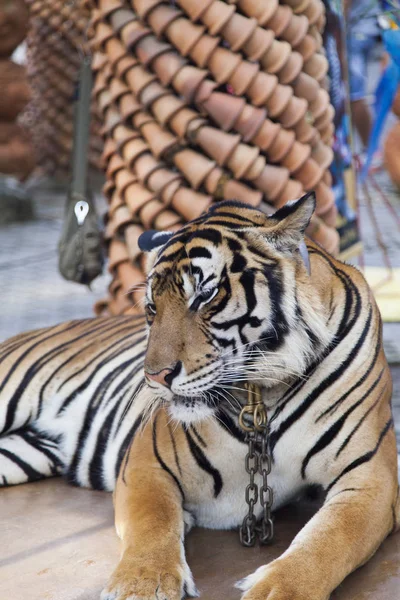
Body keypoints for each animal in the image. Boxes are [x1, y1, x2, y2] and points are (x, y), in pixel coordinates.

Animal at [0, 193, 398, 600]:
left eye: (205, 295)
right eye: (152, 307)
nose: (155, 376)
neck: (261, 392)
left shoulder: (370, 475)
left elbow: (329, 540)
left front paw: (280, 589)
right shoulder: (146, 460)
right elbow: (152, 521)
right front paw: (141, 583)